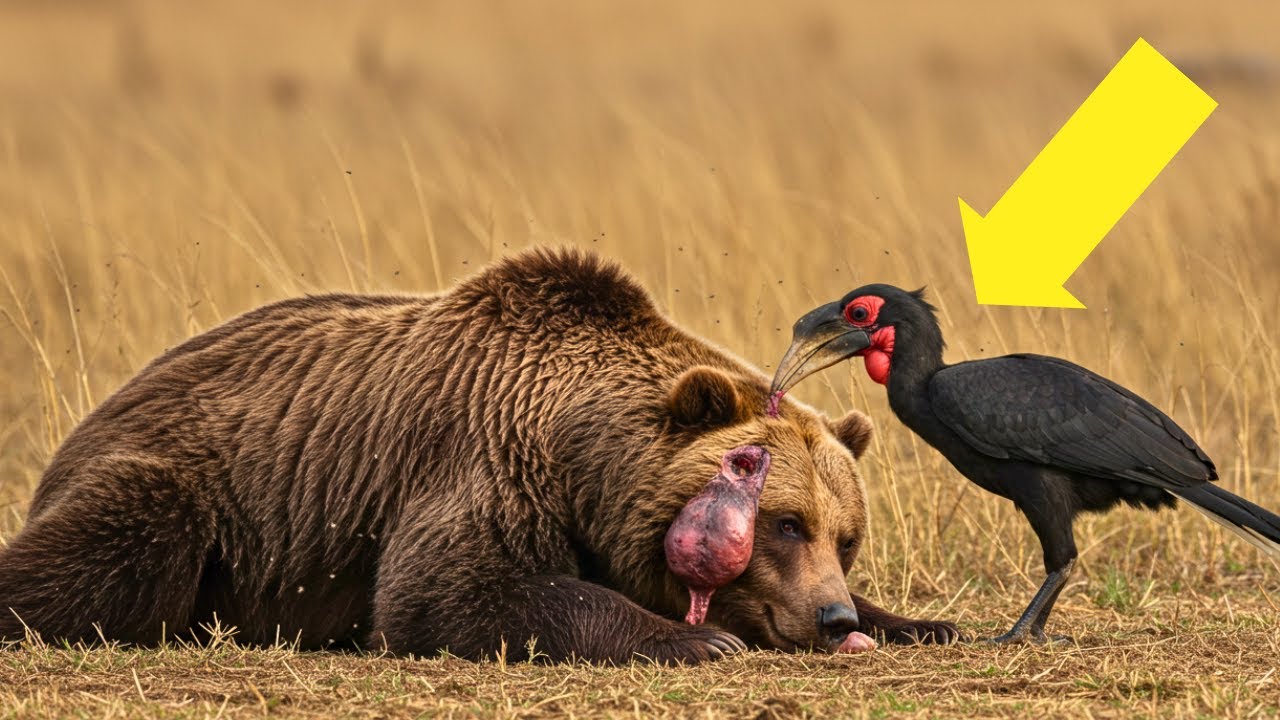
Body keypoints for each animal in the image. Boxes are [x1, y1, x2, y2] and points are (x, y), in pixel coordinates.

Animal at [0, 248, 956, 662]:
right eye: (785, 524)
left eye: (846, 537)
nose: (829, 617)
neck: (580, 458)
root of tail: (98, 410)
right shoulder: (486, 462)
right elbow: (452, 595)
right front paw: (695, 641)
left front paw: (920, 621)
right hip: (191, 487)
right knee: (111, 552)